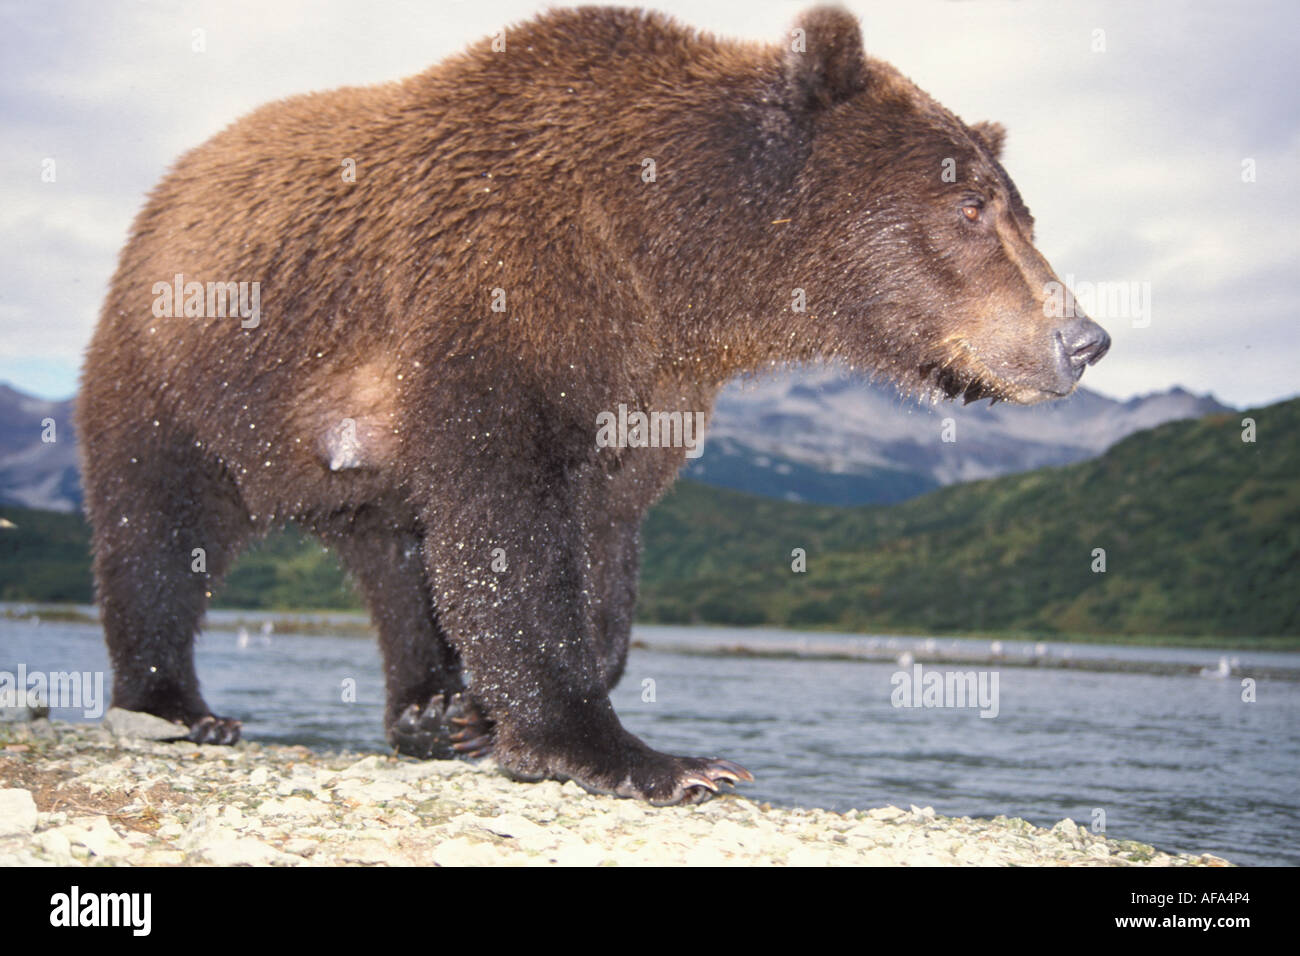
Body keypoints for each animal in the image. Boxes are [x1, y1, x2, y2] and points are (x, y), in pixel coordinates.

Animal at [78, 5, 1109, 804]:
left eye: (1023, 213)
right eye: (973, 208)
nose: (1083, 339)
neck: (672, 259)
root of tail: (169, 187)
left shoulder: (646, 385)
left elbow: (602, 531)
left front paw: (487, 711)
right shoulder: (506, 295)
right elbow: (507, 524)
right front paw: (641, 757)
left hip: (355, 473)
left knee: (395, 562)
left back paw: (425, 709)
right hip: (186, 372)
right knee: (158, 530)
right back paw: (179, 708)